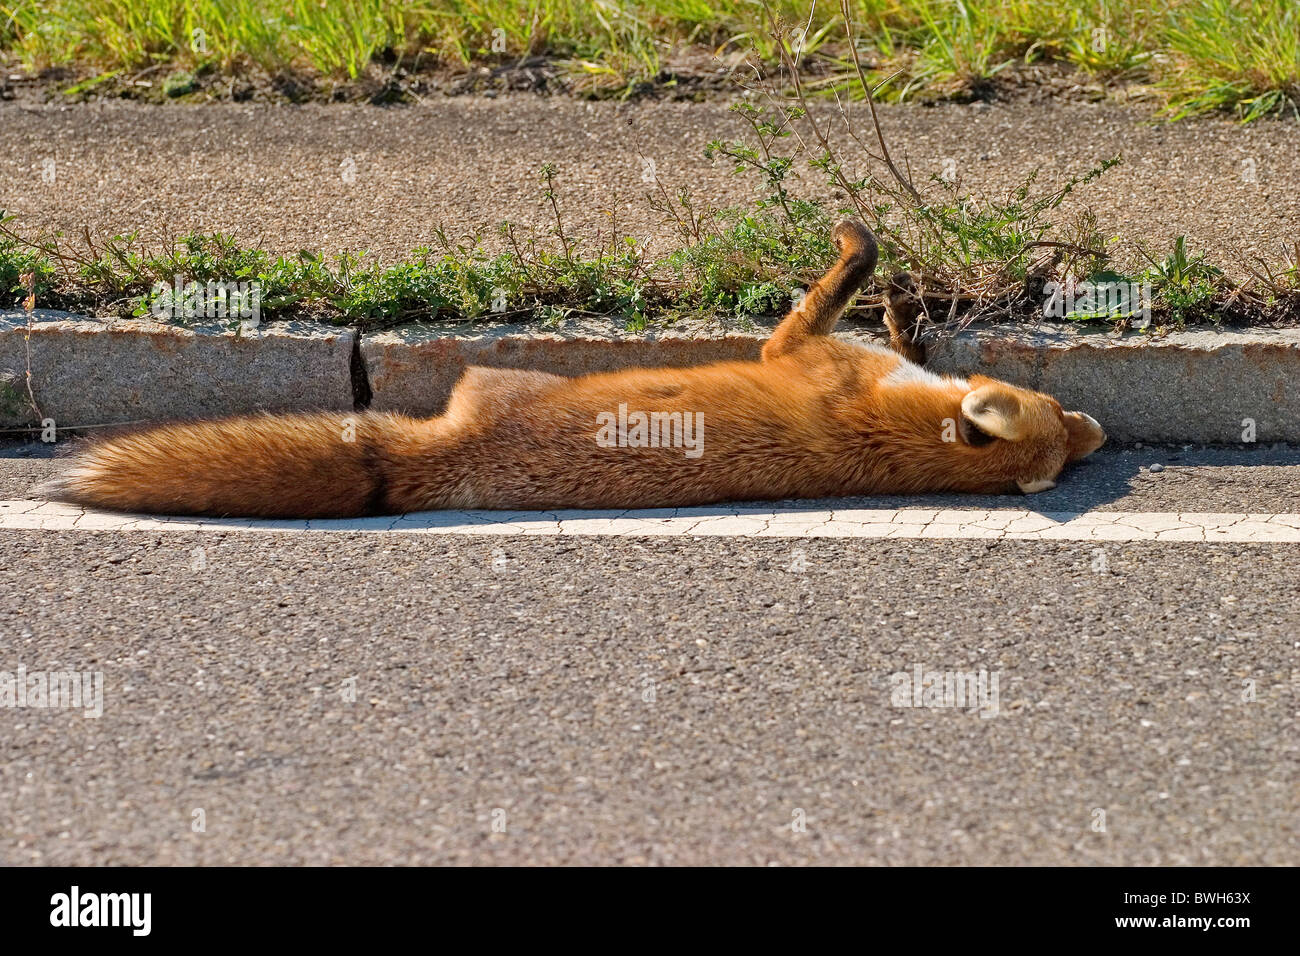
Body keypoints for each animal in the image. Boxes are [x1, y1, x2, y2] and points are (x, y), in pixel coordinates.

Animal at [41, 221, 1105, 519]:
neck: (898, 429)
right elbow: (875, 304)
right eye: (1064, 410)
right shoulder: (823, 359)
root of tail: (433, 470)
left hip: (497, 382)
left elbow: (838, 273)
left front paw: (860, 248)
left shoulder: (793, 350)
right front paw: (904, 310)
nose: (1099, 429)